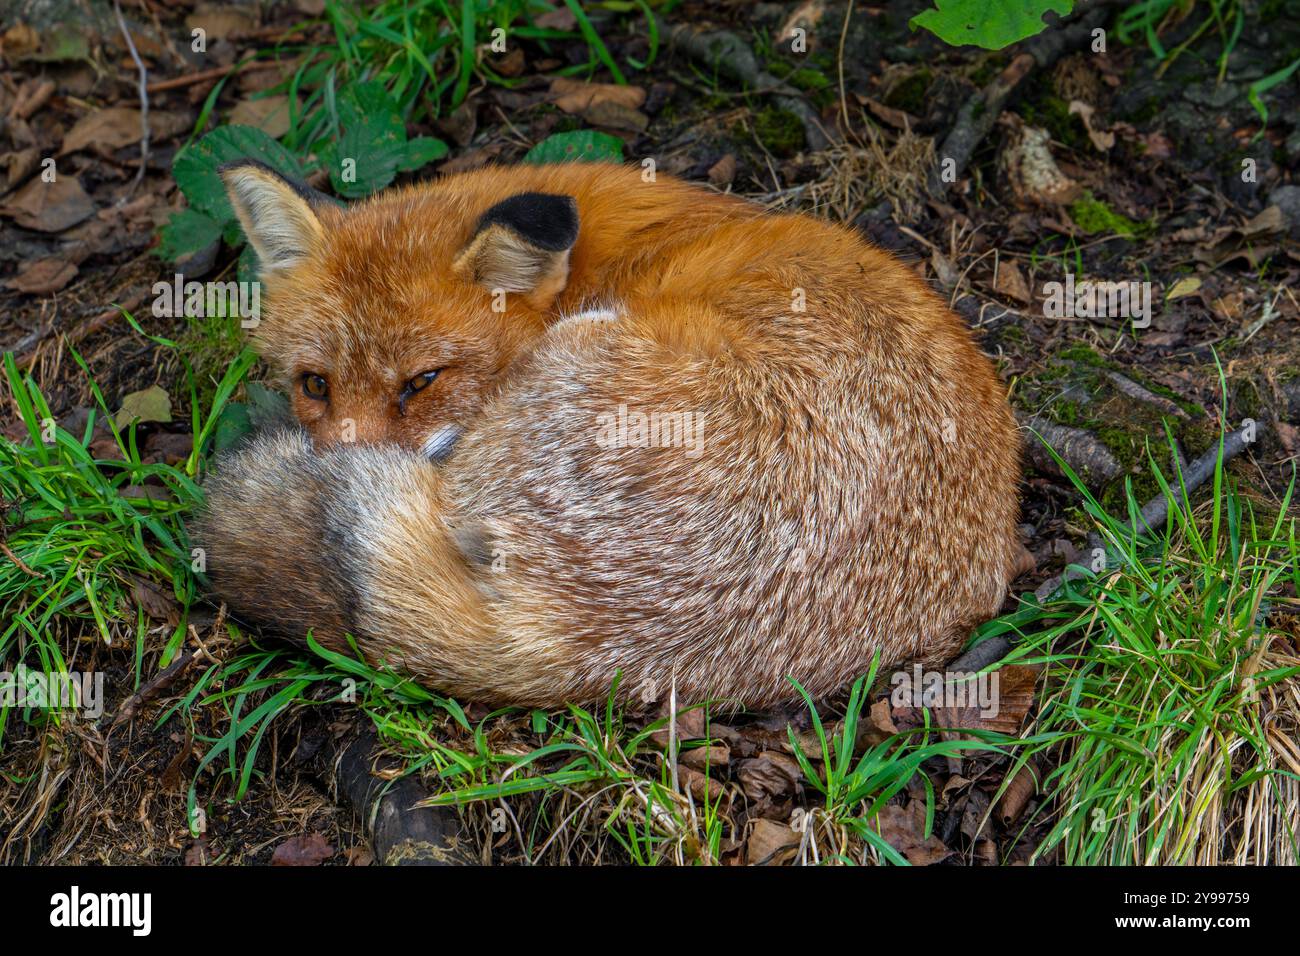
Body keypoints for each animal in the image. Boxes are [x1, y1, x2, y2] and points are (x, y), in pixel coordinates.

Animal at [197, 159, 1022, 709]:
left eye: (422, 381)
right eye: (314, 384)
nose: (332, 465)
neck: (617, 246)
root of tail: (578, 643)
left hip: (578, 355)